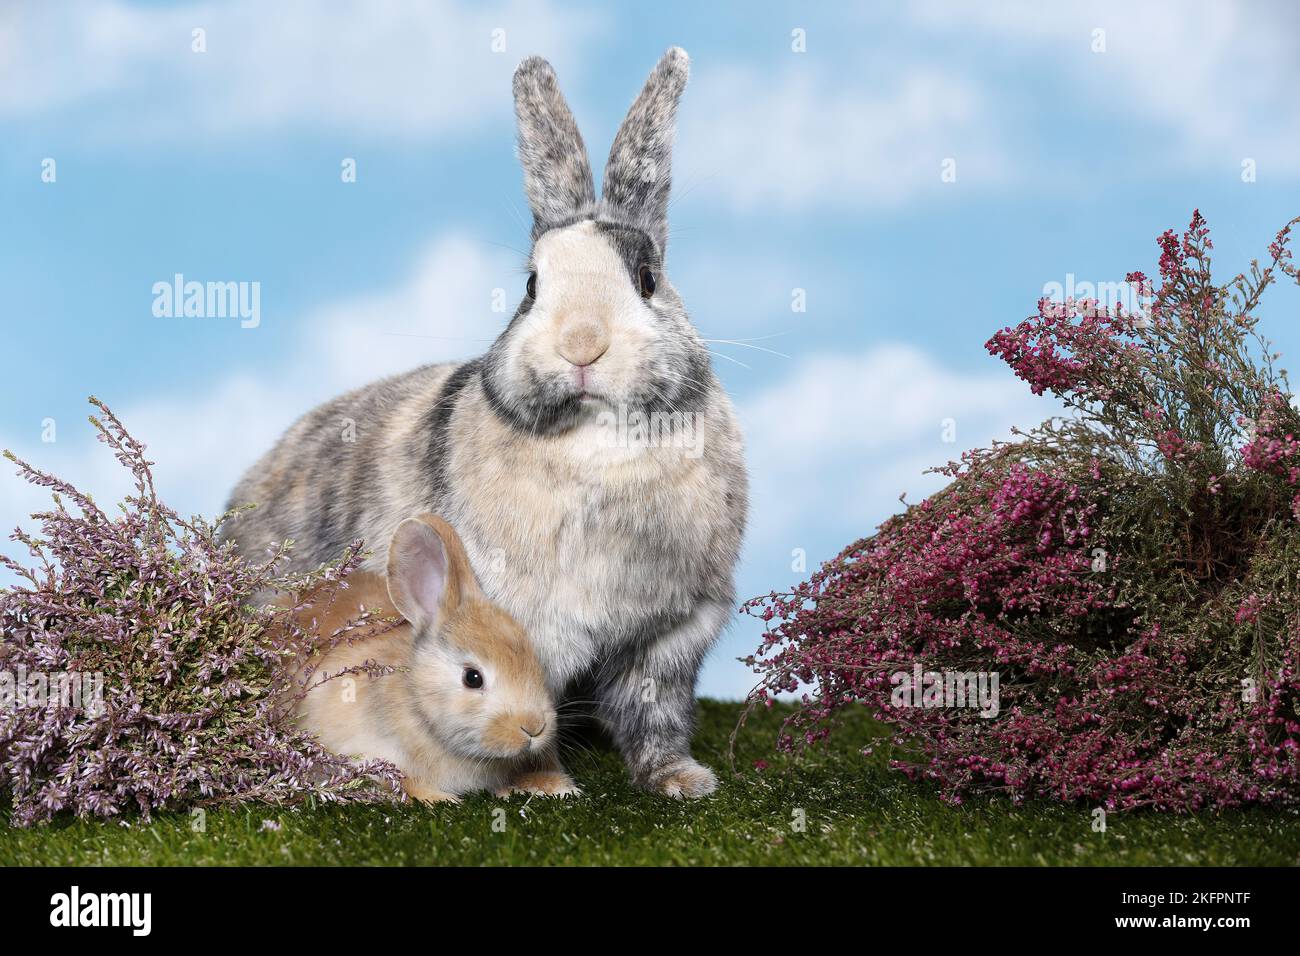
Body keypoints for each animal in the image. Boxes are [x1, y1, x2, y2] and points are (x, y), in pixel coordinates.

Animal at [290, 514, 578, 802]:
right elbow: (402, 782)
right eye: (473, 678)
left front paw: (555, 786)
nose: (534, 727)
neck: (418, 703)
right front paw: (441, 798)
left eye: (536, 662)